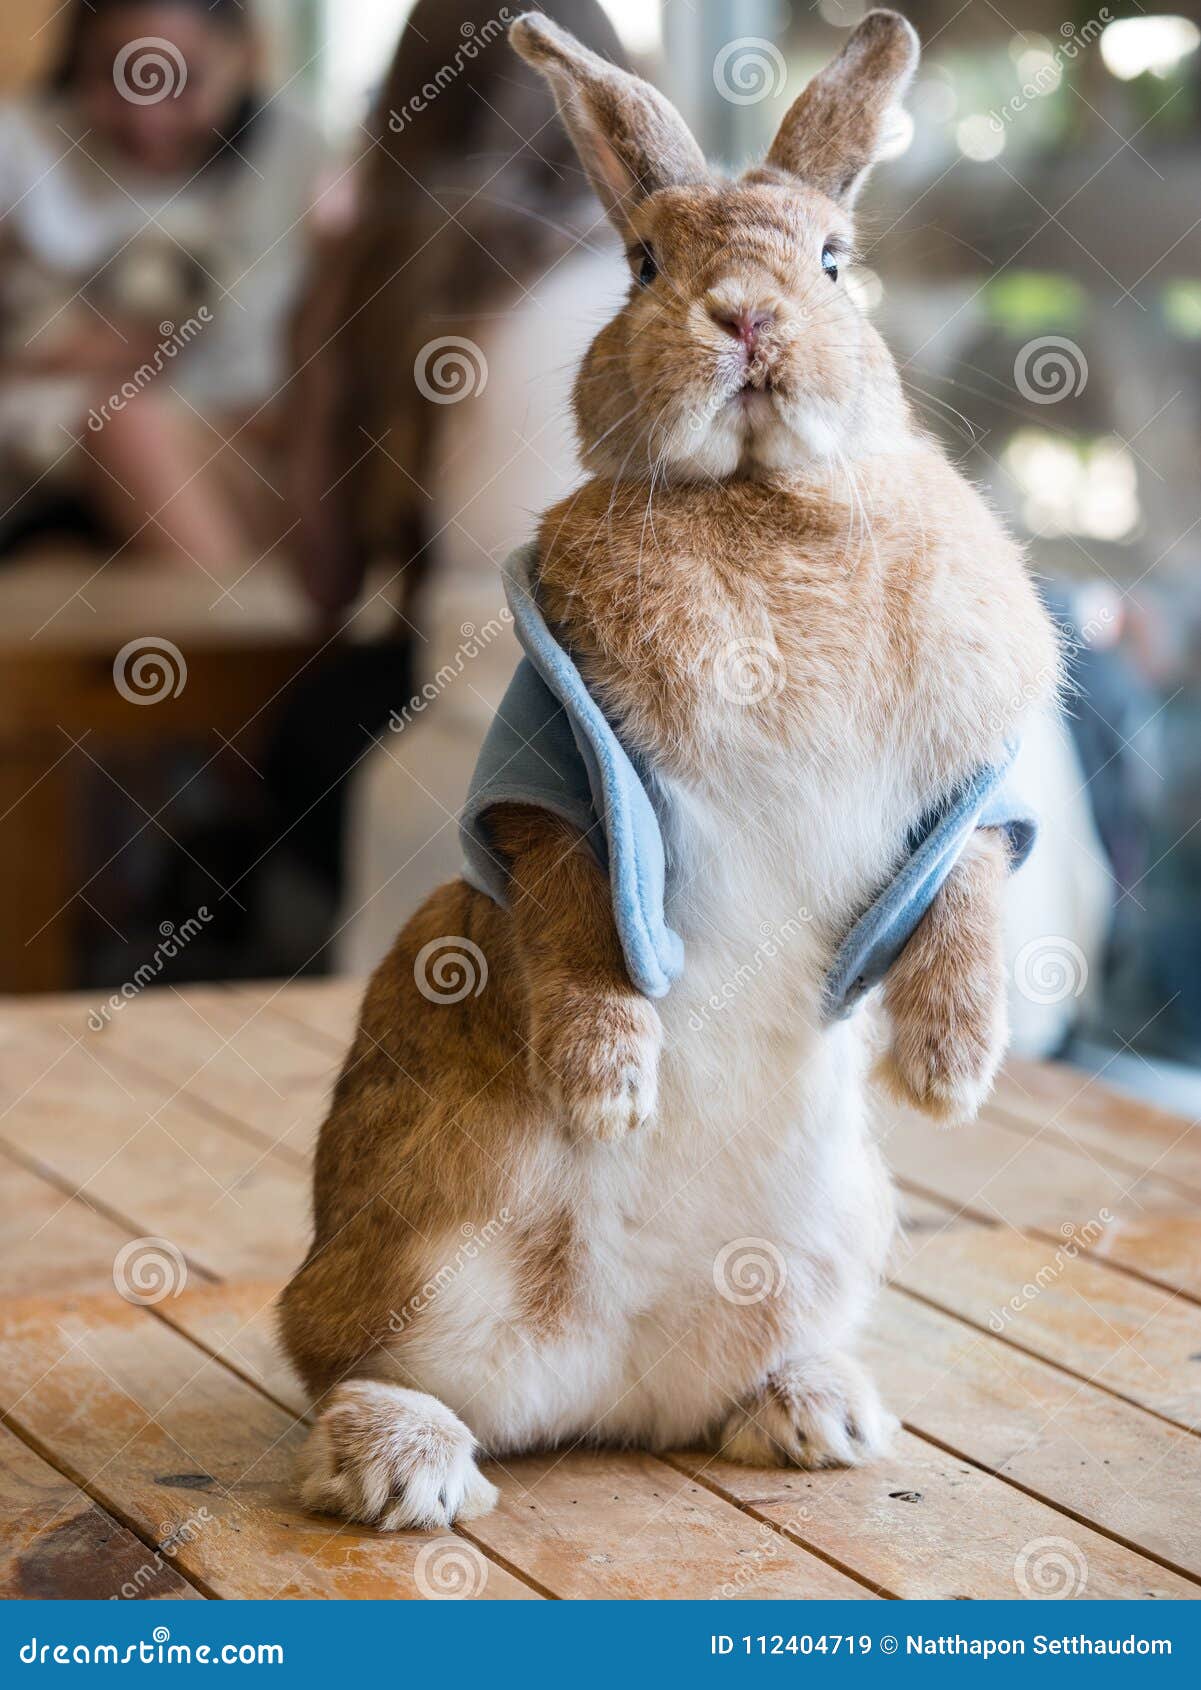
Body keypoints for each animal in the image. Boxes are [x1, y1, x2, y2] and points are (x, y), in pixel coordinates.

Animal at [278, 8, 1060, 1533]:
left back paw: (813, 1408)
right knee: (343, 1360)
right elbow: (584, 914)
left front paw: (949, 1072)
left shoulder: (964, 799)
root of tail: (604, 1390)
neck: (761, 501)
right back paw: (406, 1462)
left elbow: (970, 895)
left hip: (831, 1240)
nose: (746, 318)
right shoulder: (566, 772)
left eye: (835, 259)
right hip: (419, 1249)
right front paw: (607, 1089)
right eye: (643, 263)